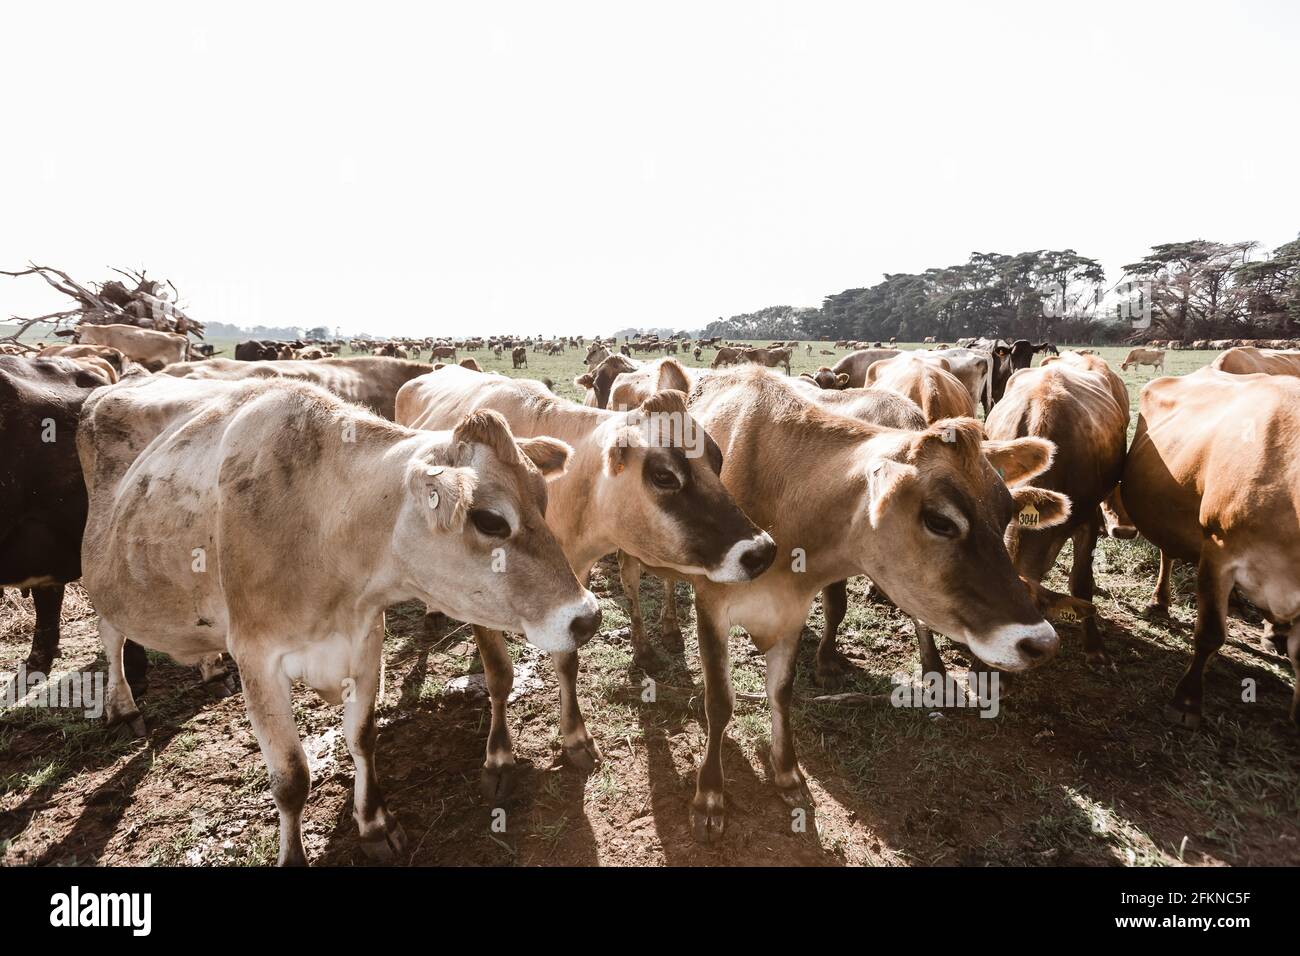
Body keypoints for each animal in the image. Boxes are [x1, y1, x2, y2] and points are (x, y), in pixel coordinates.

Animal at [78, 373, 600, 865]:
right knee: (110, 635)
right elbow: (291, 778)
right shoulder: (257, 658)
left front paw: (374, 824)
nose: (588, 617)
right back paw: (123, 708)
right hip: (104, 583)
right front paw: (294, 854)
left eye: (544, 502)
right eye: (490, 520)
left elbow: (362, 736)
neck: (324, 527)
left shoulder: (365, 638)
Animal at [395, 364, 775, 799]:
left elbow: (567, 661)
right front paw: (499, 758)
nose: (761, 551)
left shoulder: (573, 590)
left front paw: (576, 739)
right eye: (664, 475)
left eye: (718, 458)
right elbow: (500, 675)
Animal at [639, 366, 1069, 840]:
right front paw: (710, 795)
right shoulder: (712, 607)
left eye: (1007, 511)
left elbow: (782, 691)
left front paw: (787, 772)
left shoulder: (792, 609)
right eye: (940, 520)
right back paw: (661, 631)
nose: (1041, 643)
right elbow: (719, 700)